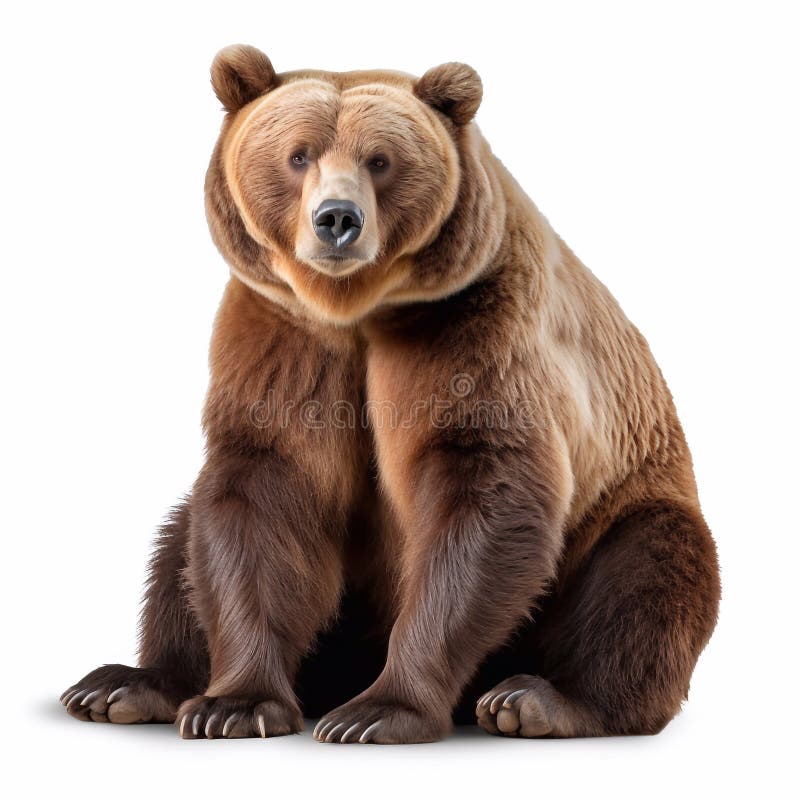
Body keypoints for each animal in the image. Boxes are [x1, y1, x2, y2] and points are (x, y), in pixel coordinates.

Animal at [60, 44, 720, 743]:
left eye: (380, 160)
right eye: (298, 155)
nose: (336, 220)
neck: (359, 311)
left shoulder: (472, 328)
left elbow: (483, 488)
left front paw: (376, 711)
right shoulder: (283, 337)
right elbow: (260, 494)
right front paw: (233, 704)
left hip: (622, 508)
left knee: (647, 571)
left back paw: (538, 700)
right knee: (179, 544)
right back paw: (123, 686)